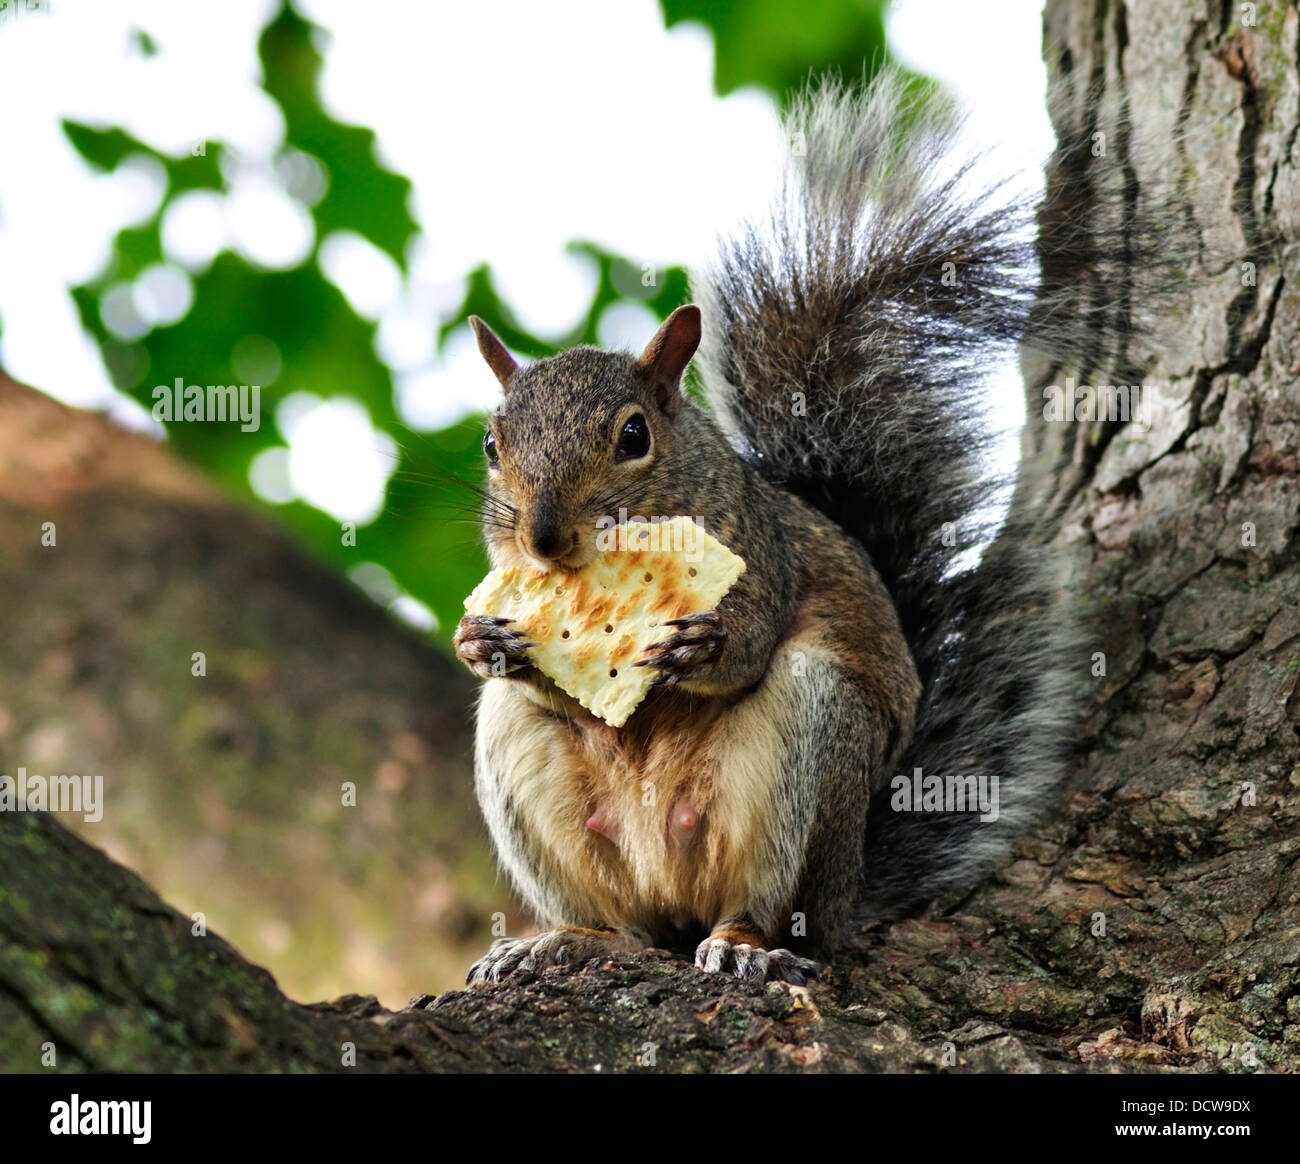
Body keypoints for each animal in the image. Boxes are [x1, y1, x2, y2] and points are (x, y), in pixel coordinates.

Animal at [453, 70, 1187, 985]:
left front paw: (701, 645)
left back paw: (744, 945)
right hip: (533, 778)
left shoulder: (763, 553)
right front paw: (481, 640)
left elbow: (747, 645)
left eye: (633, 436)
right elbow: (533, 674)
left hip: (813, 747)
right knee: (626, 923)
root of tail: (848, 889)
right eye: (491, 445)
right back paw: (569, 937)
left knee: (774, 909)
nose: (544, 542)